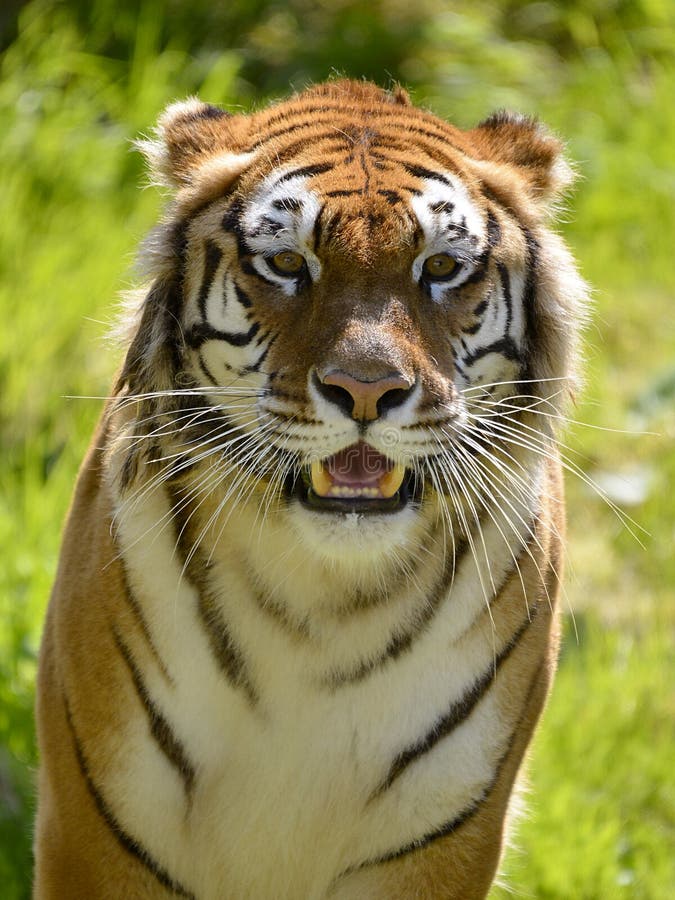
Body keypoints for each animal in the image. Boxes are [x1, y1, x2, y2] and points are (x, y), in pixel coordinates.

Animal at [34, 79, 587, 899]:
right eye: (288, 262)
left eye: (440, 267)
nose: (366, 390)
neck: (322, 603)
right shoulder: (97, 827)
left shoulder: (439, 841)